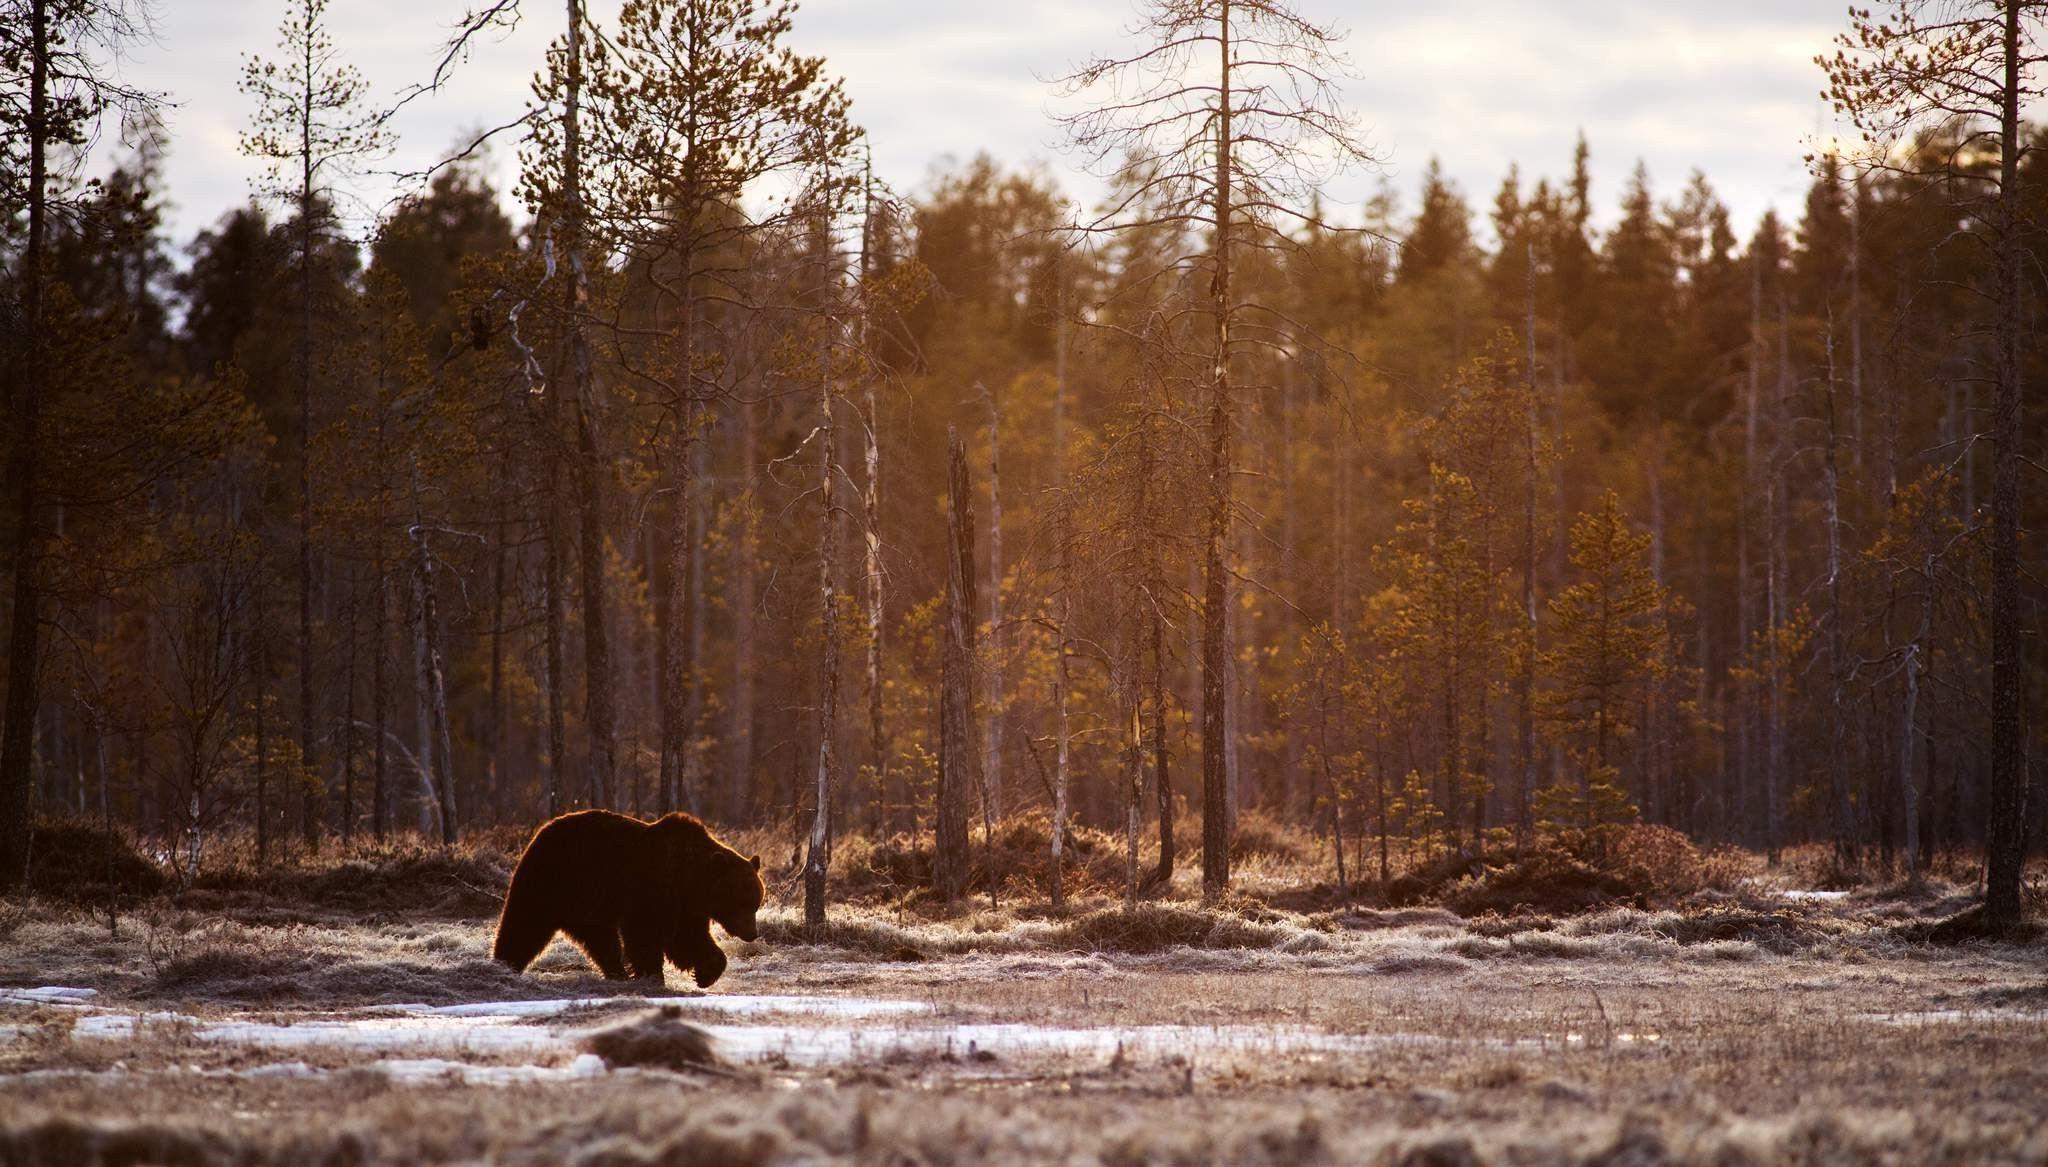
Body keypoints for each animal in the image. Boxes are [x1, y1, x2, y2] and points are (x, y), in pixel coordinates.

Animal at [491, 810, 763, 988]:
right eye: (742, 902)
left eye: (756, 903)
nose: (752, 933)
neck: (689, 880)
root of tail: (540, 831)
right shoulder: (652, 890)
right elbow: (645, 934)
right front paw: (652, 976)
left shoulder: (687, 907)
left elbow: (688, 939)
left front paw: (706, 972)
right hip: (553, 881)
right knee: (525, 923)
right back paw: (504, 965)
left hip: (587, 905)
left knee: (600, 940)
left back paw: (617, 973)